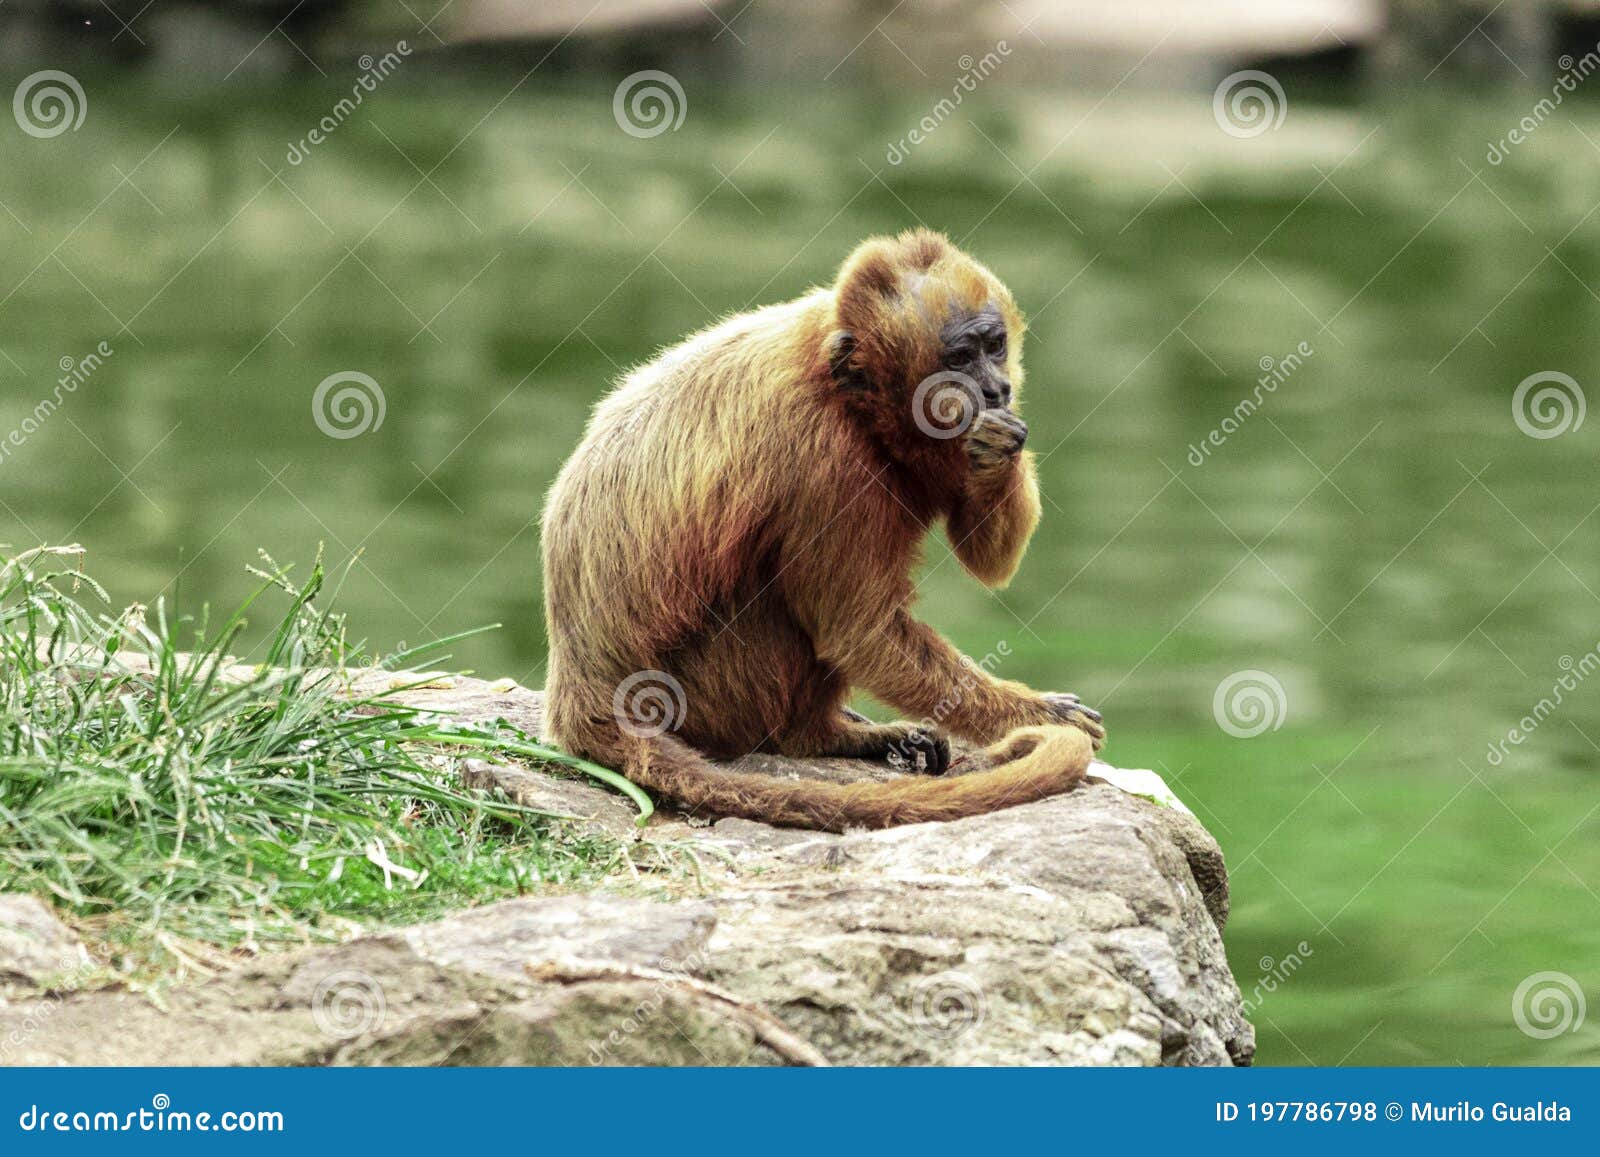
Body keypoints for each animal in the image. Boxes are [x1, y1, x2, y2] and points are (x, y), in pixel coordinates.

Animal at [540, 228, 1105, 832]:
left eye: (994, 345)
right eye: (958, 359)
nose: (998, 389)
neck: (849, 395)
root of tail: (583, 695)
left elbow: (986, 561)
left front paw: (999, 447)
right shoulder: (826, 460)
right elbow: (852, 629)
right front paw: (1033, 712)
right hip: (706, 695)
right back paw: (810, 738)